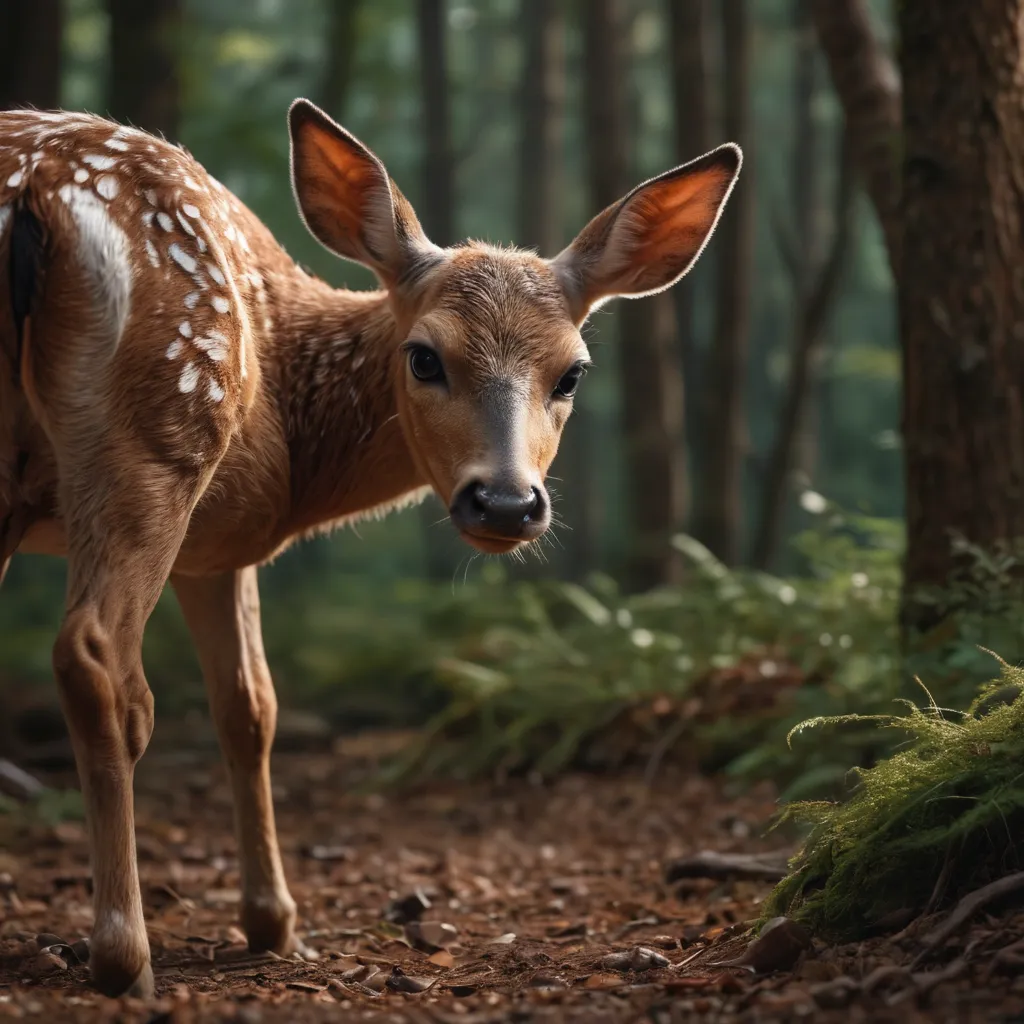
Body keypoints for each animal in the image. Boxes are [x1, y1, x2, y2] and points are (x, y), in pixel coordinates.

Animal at [0, 100, 740, 997]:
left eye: (572, 373)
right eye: (424, 357)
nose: (506, 501)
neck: (295, 438)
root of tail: (34, 193)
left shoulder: (211, 549)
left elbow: (241, 707)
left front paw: (268, 920)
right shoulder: (221, 535)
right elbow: (257, 706)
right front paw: (274, 924)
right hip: (161, 429)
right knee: (98, 660)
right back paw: (123, 954)